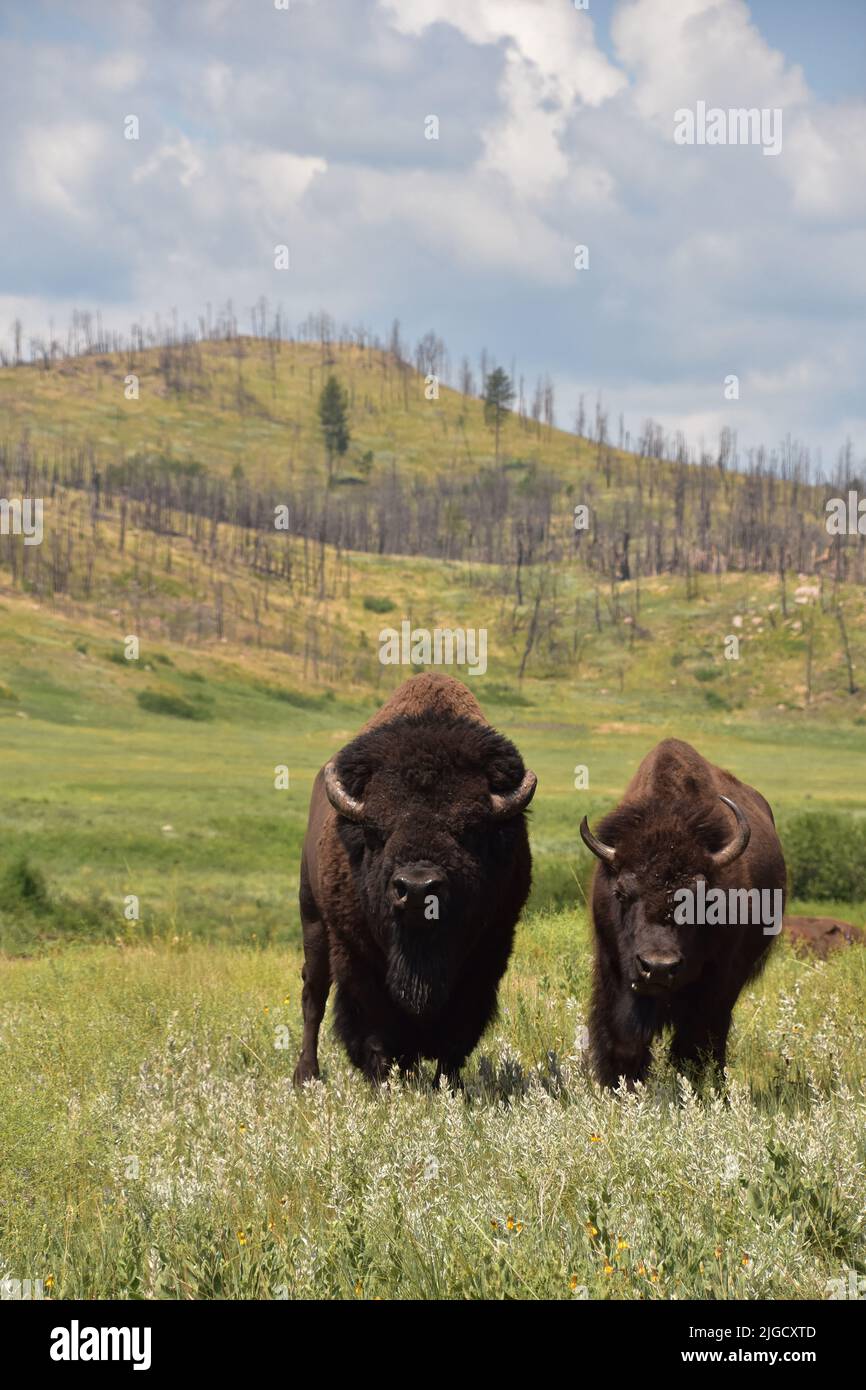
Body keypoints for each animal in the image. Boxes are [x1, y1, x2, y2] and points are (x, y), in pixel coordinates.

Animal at [293, 673, 536, 1086]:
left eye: (470, 830)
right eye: (377, 830)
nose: (419, 888)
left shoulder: (489, 950)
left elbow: (459, 1028)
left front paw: (447, 1084)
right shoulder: (355, 954)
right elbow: (371, 1023)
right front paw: (381, 1083)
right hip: (313, 920)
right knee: (314, 994)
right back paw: (306, 1075)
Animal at [580, 738, 786, 1087]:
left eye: (704, 900)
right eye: (621, 893)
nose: (658, 967)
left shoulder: (719, 979)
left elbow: (696, 1041)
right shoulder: (615, 970)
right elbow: (624, 1041)